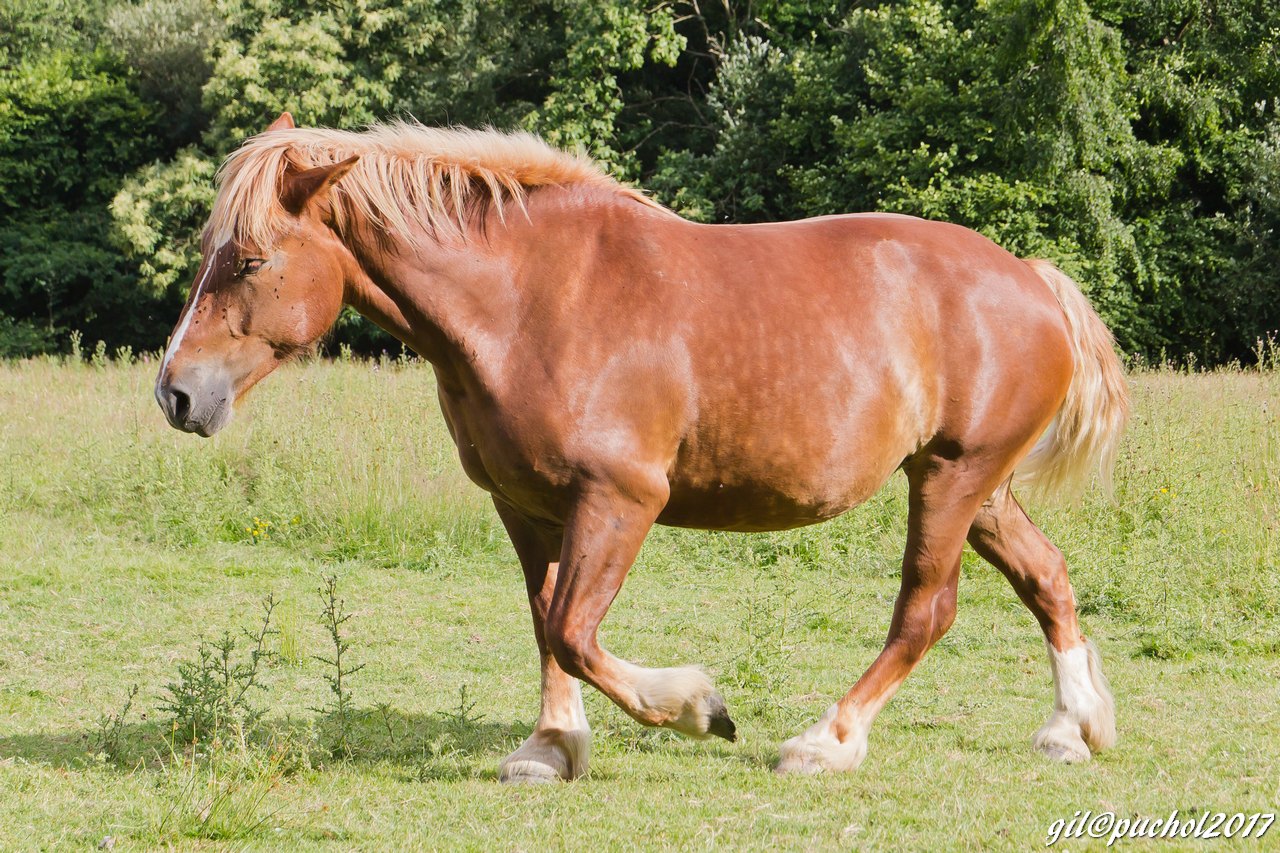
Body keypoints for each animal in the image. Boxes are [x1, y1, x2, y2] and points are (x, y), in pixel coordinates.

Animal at [155, 113, 1128, 782]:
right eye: (211, 250)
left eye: (250, 259)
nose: (177, 392)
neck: (530, 300)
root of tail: (1030, 277)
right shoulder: (527, 505)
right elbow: (546, 624)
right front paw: (551, 747)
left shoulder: (620, 498)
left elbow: (575, 630)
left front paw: (699, 706)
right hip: (977, 485)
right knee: (1046, 576)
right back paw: (1072, 728)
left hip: (953, 479)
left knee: (925, 611)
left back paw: (826, 740)